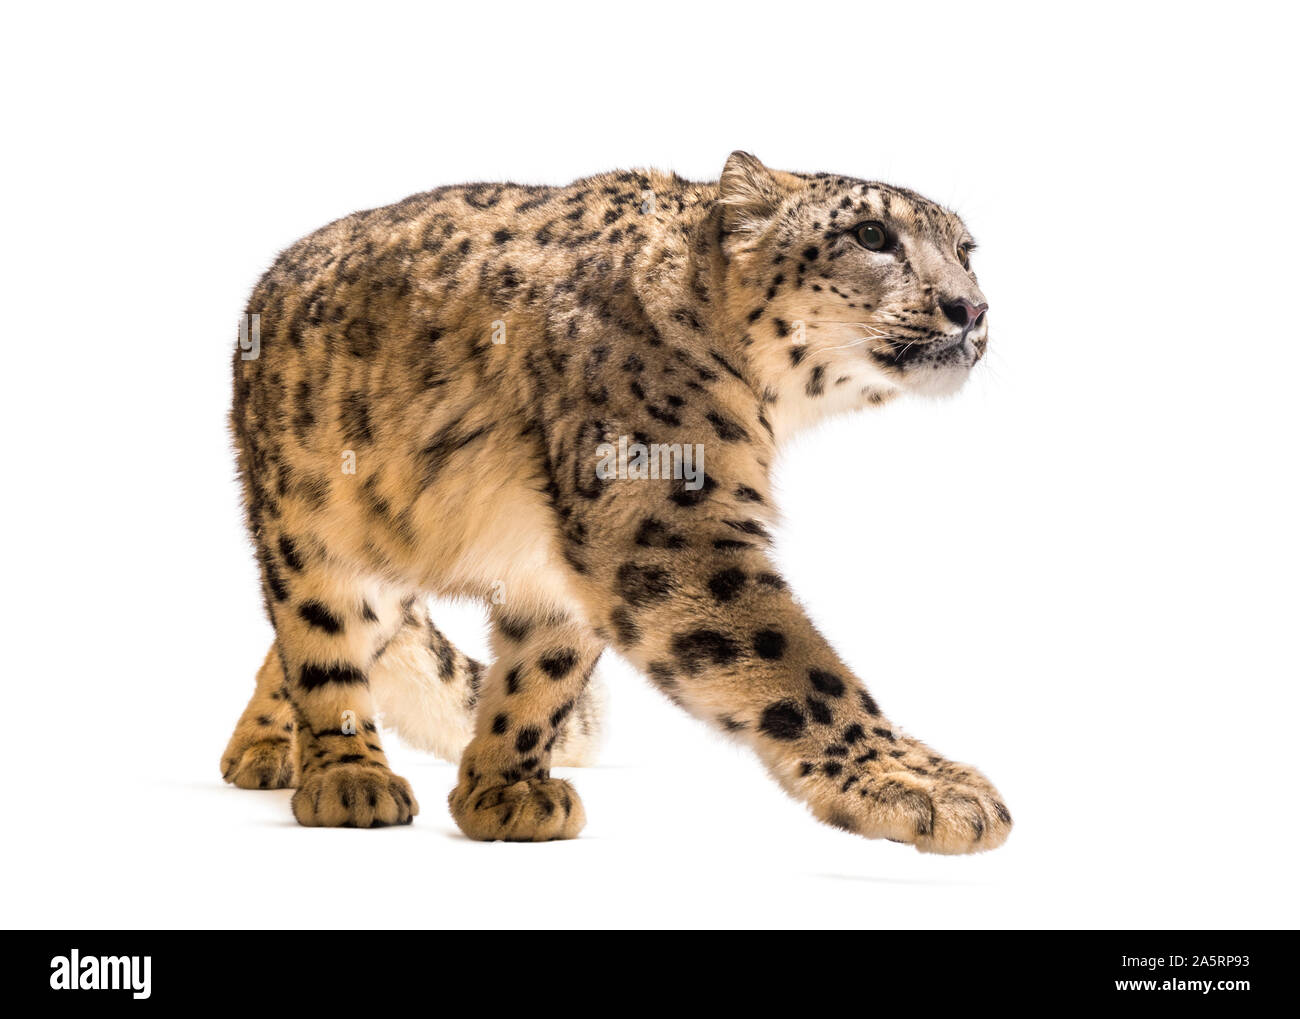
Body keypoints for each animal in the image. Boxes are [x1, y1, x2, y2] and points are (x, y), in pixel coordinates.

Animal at [222, 150, 1011, 852]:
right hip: (306, 521)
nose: (972, 309)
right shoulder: (663, 524)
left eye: (967, 251)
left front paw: (506, 792)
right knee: (319, 636)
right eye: (872, 234)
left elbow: (543, 674)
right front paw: (925, 788)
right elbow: (794, 662)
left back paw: (272, 749)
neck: (763, 402)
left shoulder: (558, 562)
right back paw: (343, 776)